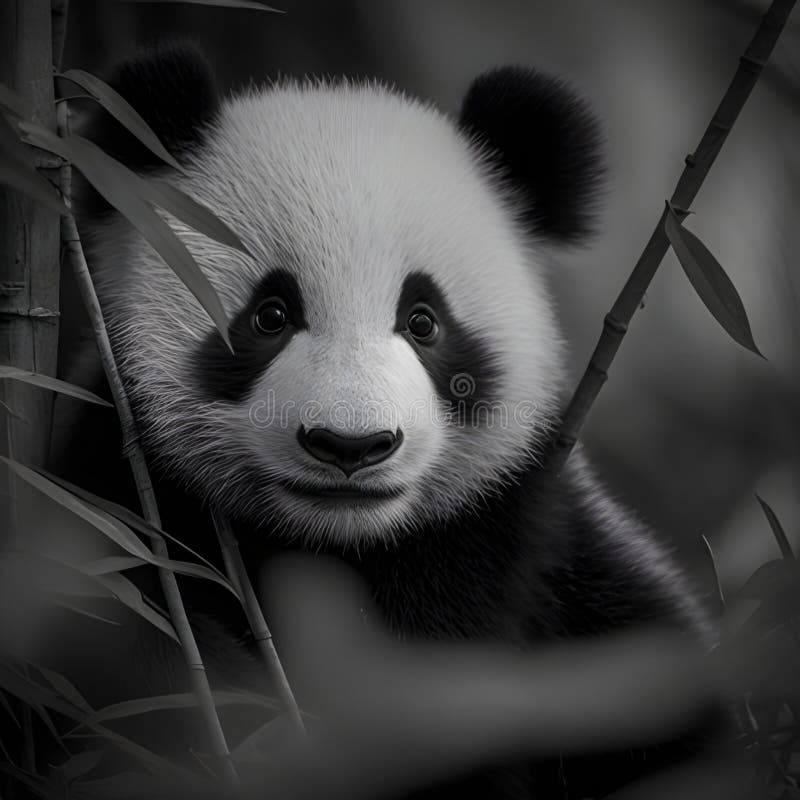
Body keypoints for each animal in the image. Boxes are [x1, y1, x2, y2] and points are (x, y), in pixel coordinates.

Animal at [52, 40, 717, 800]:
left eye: (423, 320)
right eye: (271, 314)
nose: (351, 445)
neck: (336, 549)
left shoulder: (527, 555)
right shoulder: (110, 486)